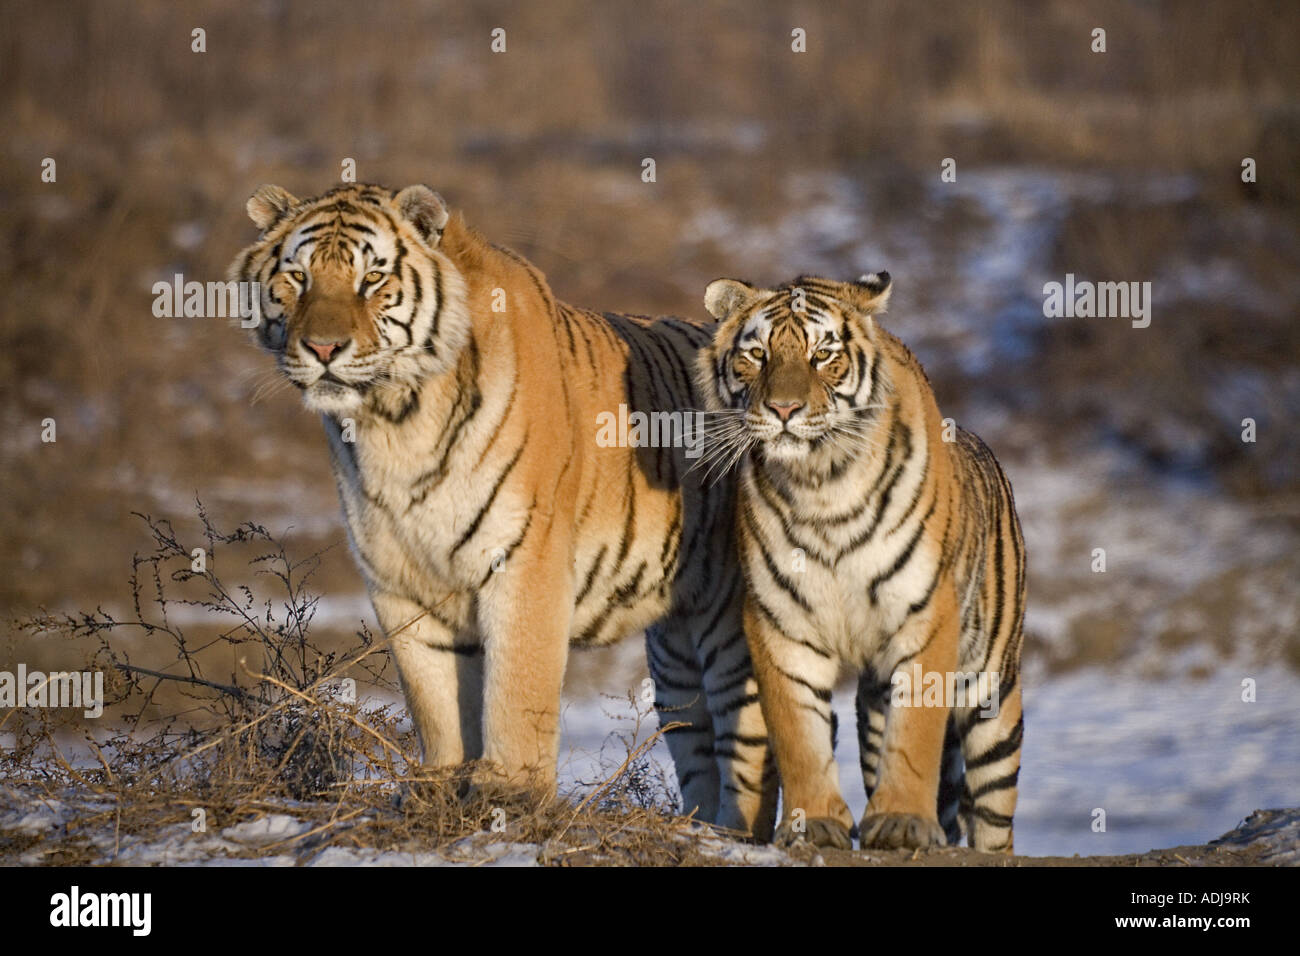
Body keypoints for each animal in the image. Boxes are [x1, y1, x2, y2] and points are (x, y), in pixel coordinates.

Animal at [228, 183, 776, 838]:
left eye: (372, 279)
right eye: (298, 277)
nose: (323, 347)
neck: (393, 423)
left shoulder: (525, 563)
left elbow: (517, 687)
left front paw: (509, 792)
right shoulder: (400, 581)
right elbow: (434, 698)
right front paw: (438, 789)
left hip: (735, 633)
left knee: (751, 749)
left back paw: (737, 832)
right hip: (675, 655)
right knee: (698, 745)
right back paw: (697, 828)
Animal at [696, 272, 1026, 853]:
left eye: (823, 355)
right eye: (757, 355)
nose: (784, 411)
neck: (819, 484)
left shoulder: (925, 614)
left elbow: (915, 734)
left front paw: (902, 821)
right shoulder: (779, 622)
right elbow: (799, 735)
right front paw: (813, 824)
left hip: (992, 688)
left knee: (992, 815)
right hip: (874, 696)